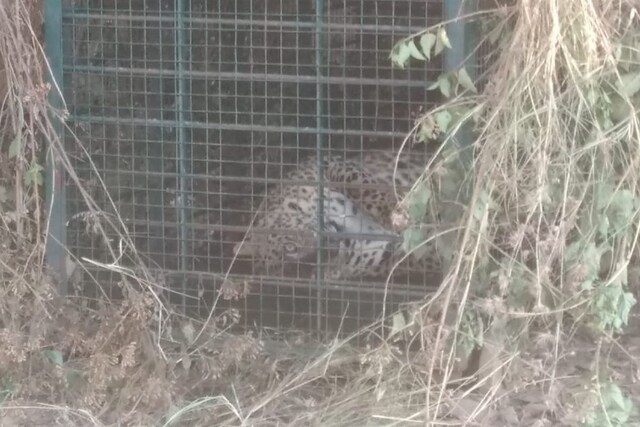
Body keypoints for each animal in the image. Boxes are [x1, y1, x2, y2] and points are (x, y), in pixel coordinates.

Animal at [233, 149, 443, 281]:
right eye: (293, 269)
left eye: (290, 247)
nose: (325, 255)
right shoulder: (381, 254)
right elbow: (417, 256)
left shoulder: (328, 163)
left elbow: (358, 183)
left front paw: (390, 210)